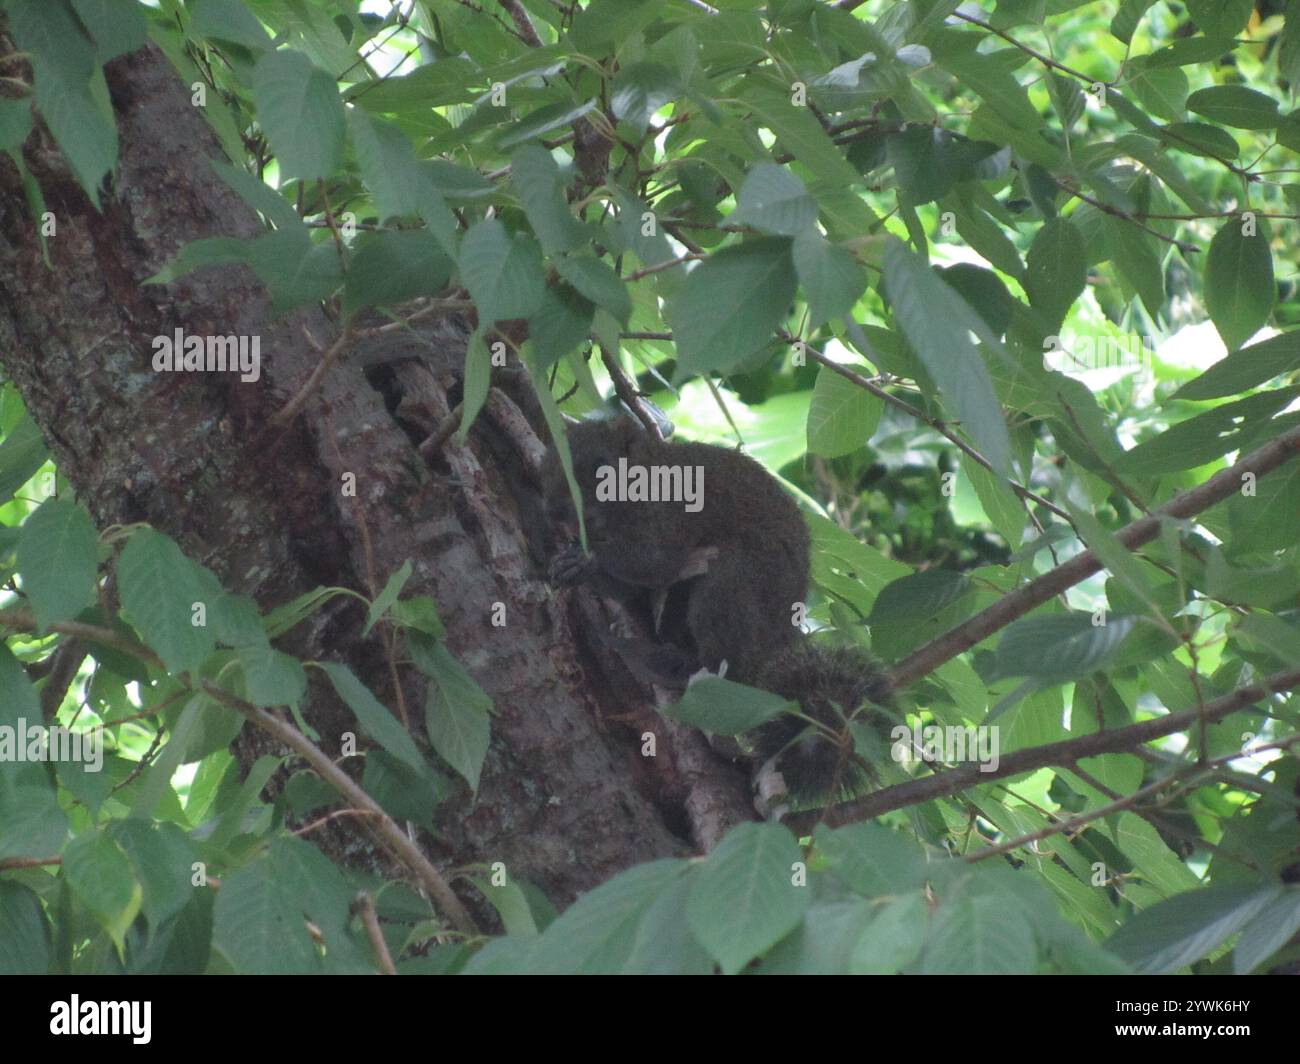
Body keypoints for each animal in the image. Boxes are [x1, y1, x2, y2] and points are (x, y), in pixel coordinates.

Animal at [541, 414, 895, 810]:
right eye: (545, 465)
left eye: (601, 465)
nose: (552, 511)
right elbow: (634, 586)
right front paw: (570, 567)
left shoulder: (670, 513)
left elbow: (654, 562)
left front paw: (587, 562)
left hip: (736, 582)